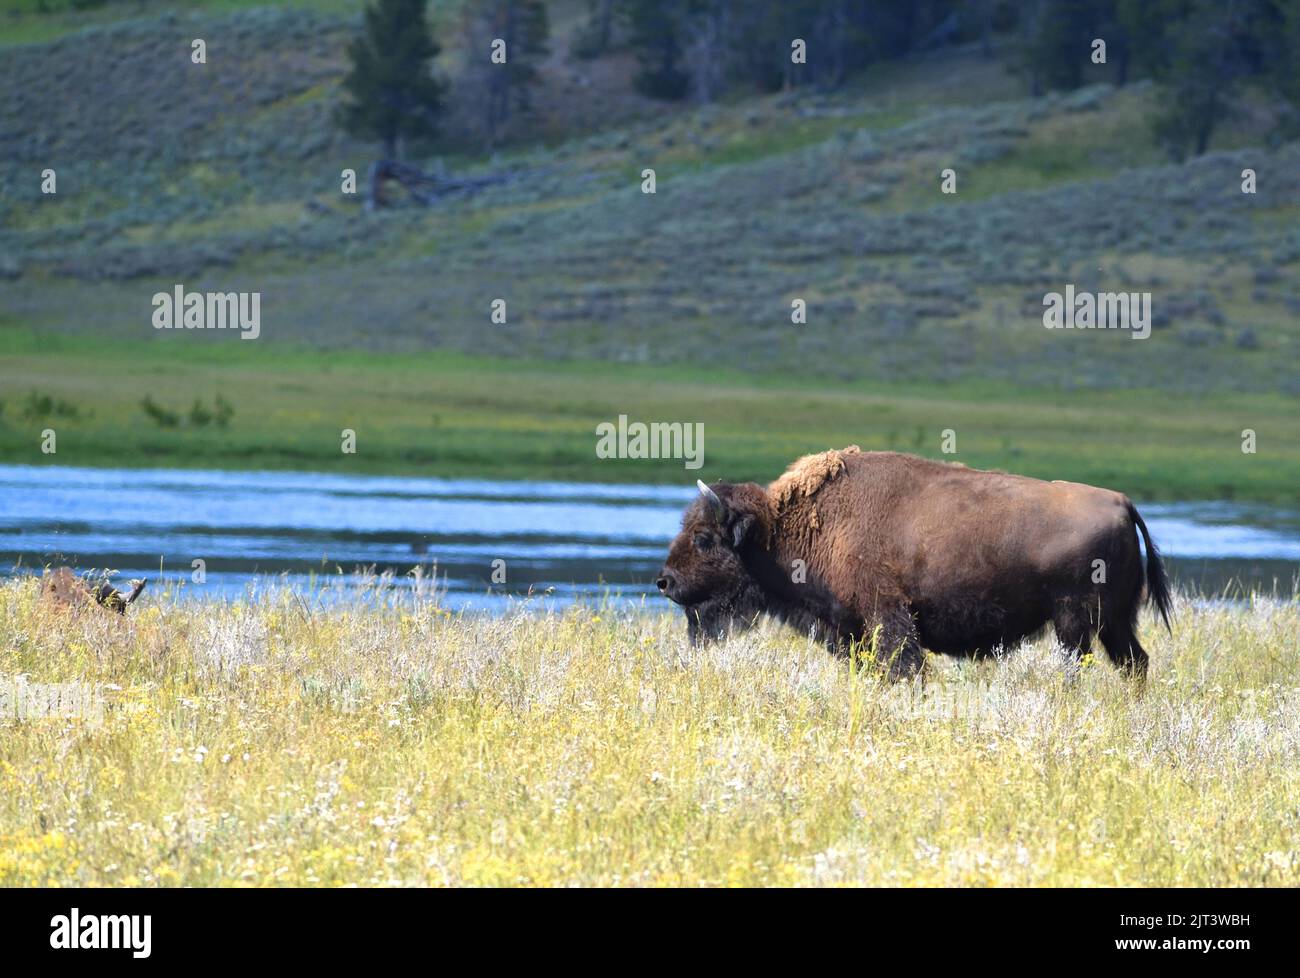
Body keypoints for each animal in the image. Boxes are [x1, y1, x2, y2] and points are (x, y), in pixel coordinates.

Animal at [657, 447, 1172, 679]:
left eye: (703, 538)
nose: (665, 581)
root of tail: (1121, 501)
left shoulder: (888, 618)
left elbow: (905, 666)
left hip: (1075, 622)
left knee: (1078, 667)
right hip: (1114, 622)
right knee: (1135, 662)